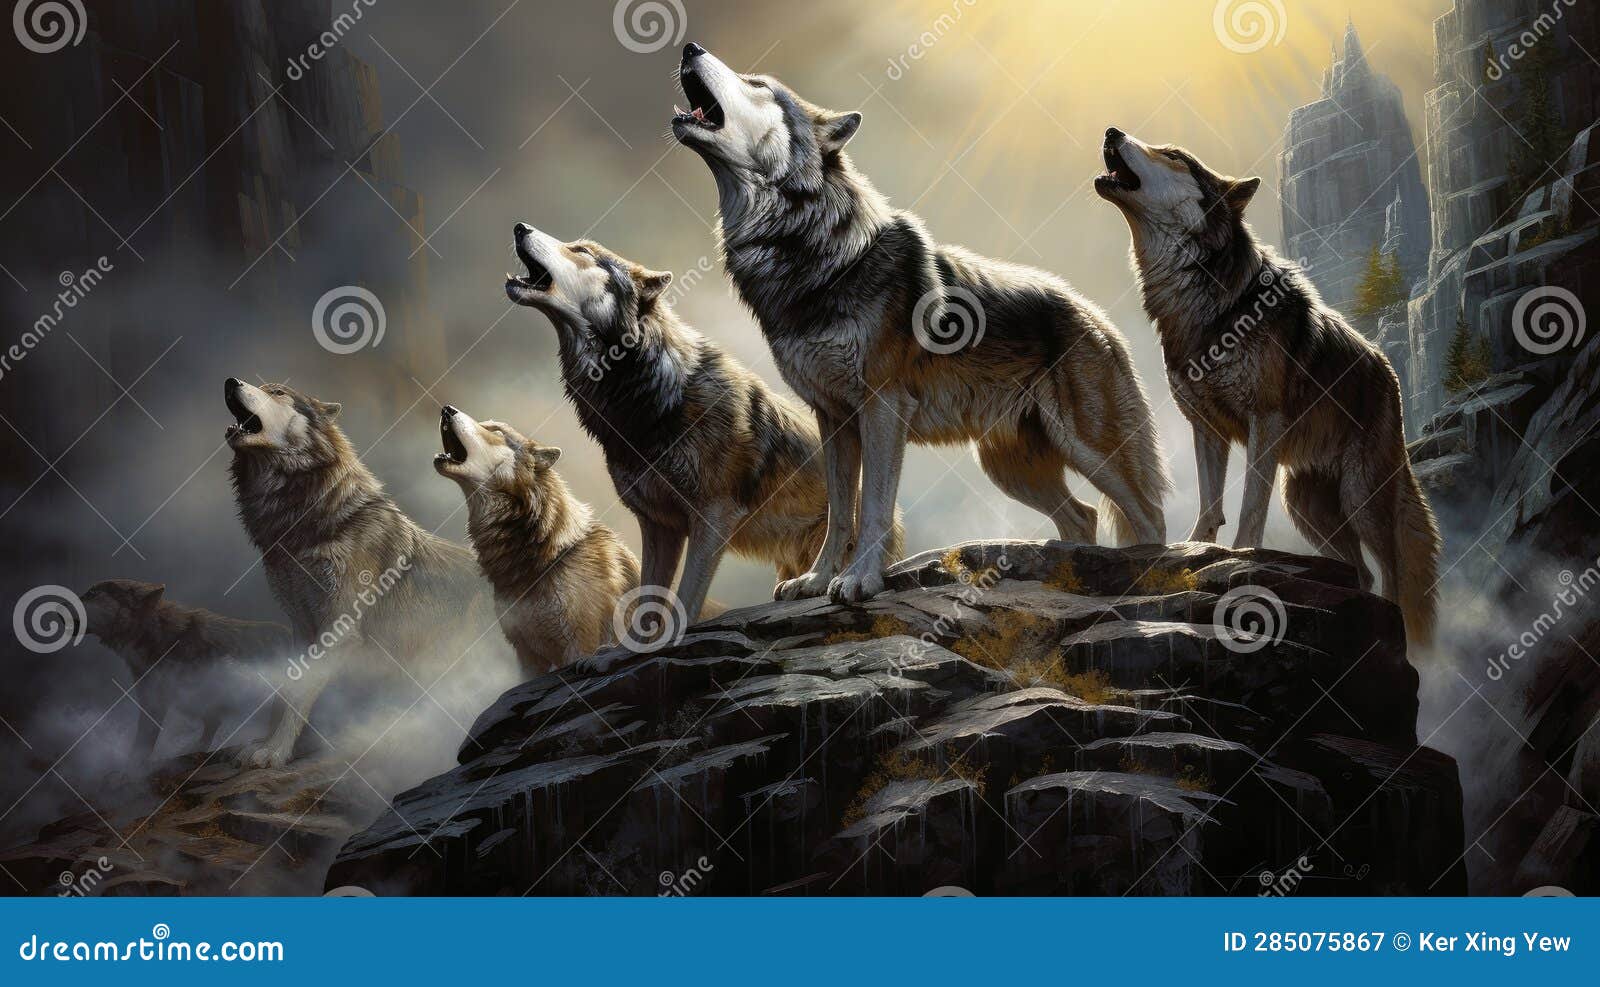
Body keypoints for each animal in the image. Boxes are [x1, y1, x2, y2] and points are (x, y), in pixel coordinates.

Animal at [225, 377, 496, 768]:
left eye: (277, 392)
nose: (231, 381)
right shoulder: (301, 626)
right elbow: (285, 688)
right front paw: (266, 744)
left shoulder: (338, 629)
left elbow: (300, 693)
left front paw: (274, 752)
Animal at [505, 223, 900, 619]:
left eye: (582, 251)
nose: (520, 227)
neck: (653, 393)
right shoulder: (659, 526)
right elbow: (648, 603)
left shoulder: (713, 518)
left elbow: (685, 602)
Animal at [671, 43, 1169, 605]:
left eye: (758, 84)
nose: (690, 48)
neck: (813, 253)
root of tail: (1094, 313)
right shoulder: (833, 418)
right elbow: (839, 514)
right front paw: (817, 581)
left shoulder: (883, 408)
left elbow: (872, 509)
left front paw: (859, 581)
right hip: (1009, 468)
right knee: (1082, 517)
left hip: (1090, 451)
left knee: (1148, 519)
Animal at [1094, 128, 1439, 643]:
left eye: (1173, 155)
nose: (1111, 132)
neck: (1200, 301)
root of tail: (1388, 368)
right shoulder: (1205, 429)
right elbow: (1210, 501)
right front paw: (1195, 548)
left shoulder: (1265, 421)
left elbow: (1250, 503)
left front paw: (1241, 557)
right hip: (1306, 506)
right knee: (1359, 571)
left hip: (1360, 498)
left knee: (1391, 568)